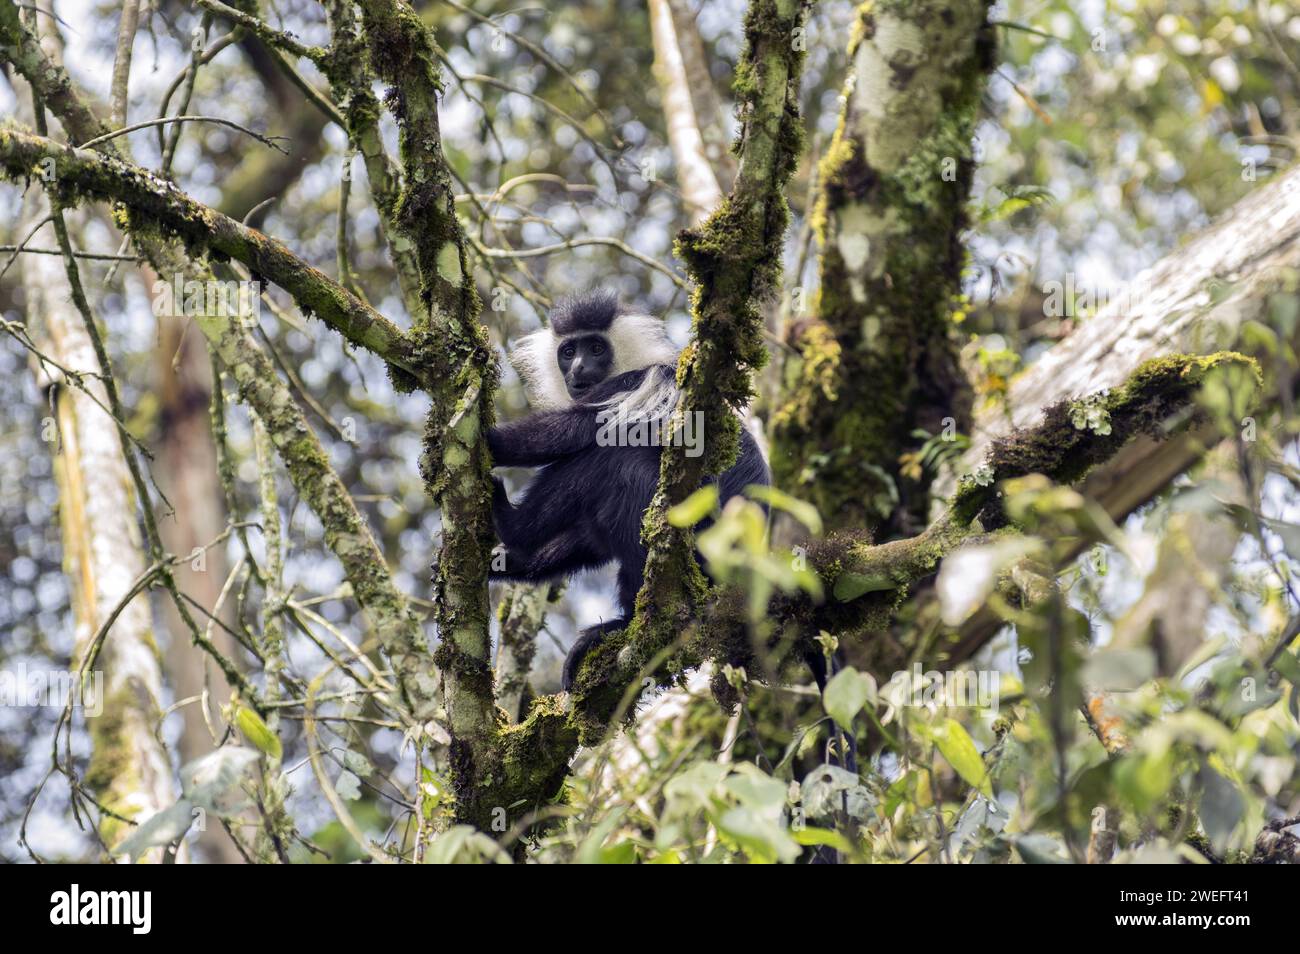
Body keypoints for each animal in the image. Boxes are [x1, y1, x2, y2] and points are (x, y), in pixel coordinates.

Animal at [487, 291, 770, 690]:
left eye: (595, 348)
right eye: (568, 351)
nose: (578, 369)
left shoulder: (633, 385)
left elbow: (575, 429)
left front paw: (488, 439)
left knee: (615, 461)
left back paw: (512, 525)